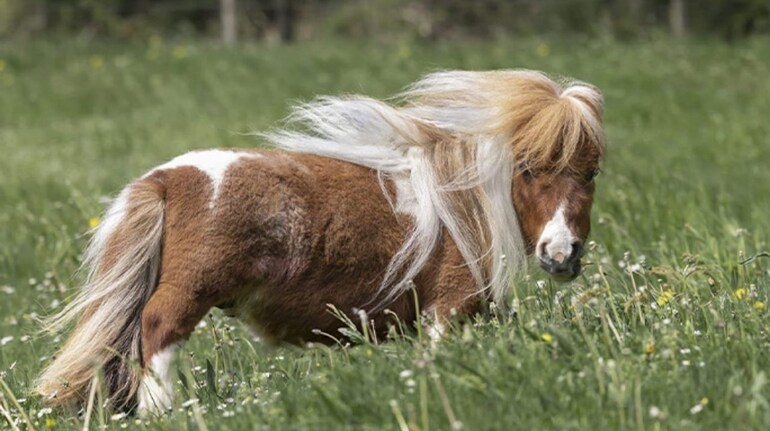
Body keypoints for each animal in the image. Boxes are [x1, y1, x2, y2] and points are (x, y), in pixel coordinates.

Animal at [35, 70, 605, 416]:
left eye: (592, 172)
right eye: (527, 168)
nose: (562, 253)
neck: (458, 206)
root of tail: (165, 180)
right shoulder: (447, 311)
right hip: (185, 295)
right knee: (157, 335)